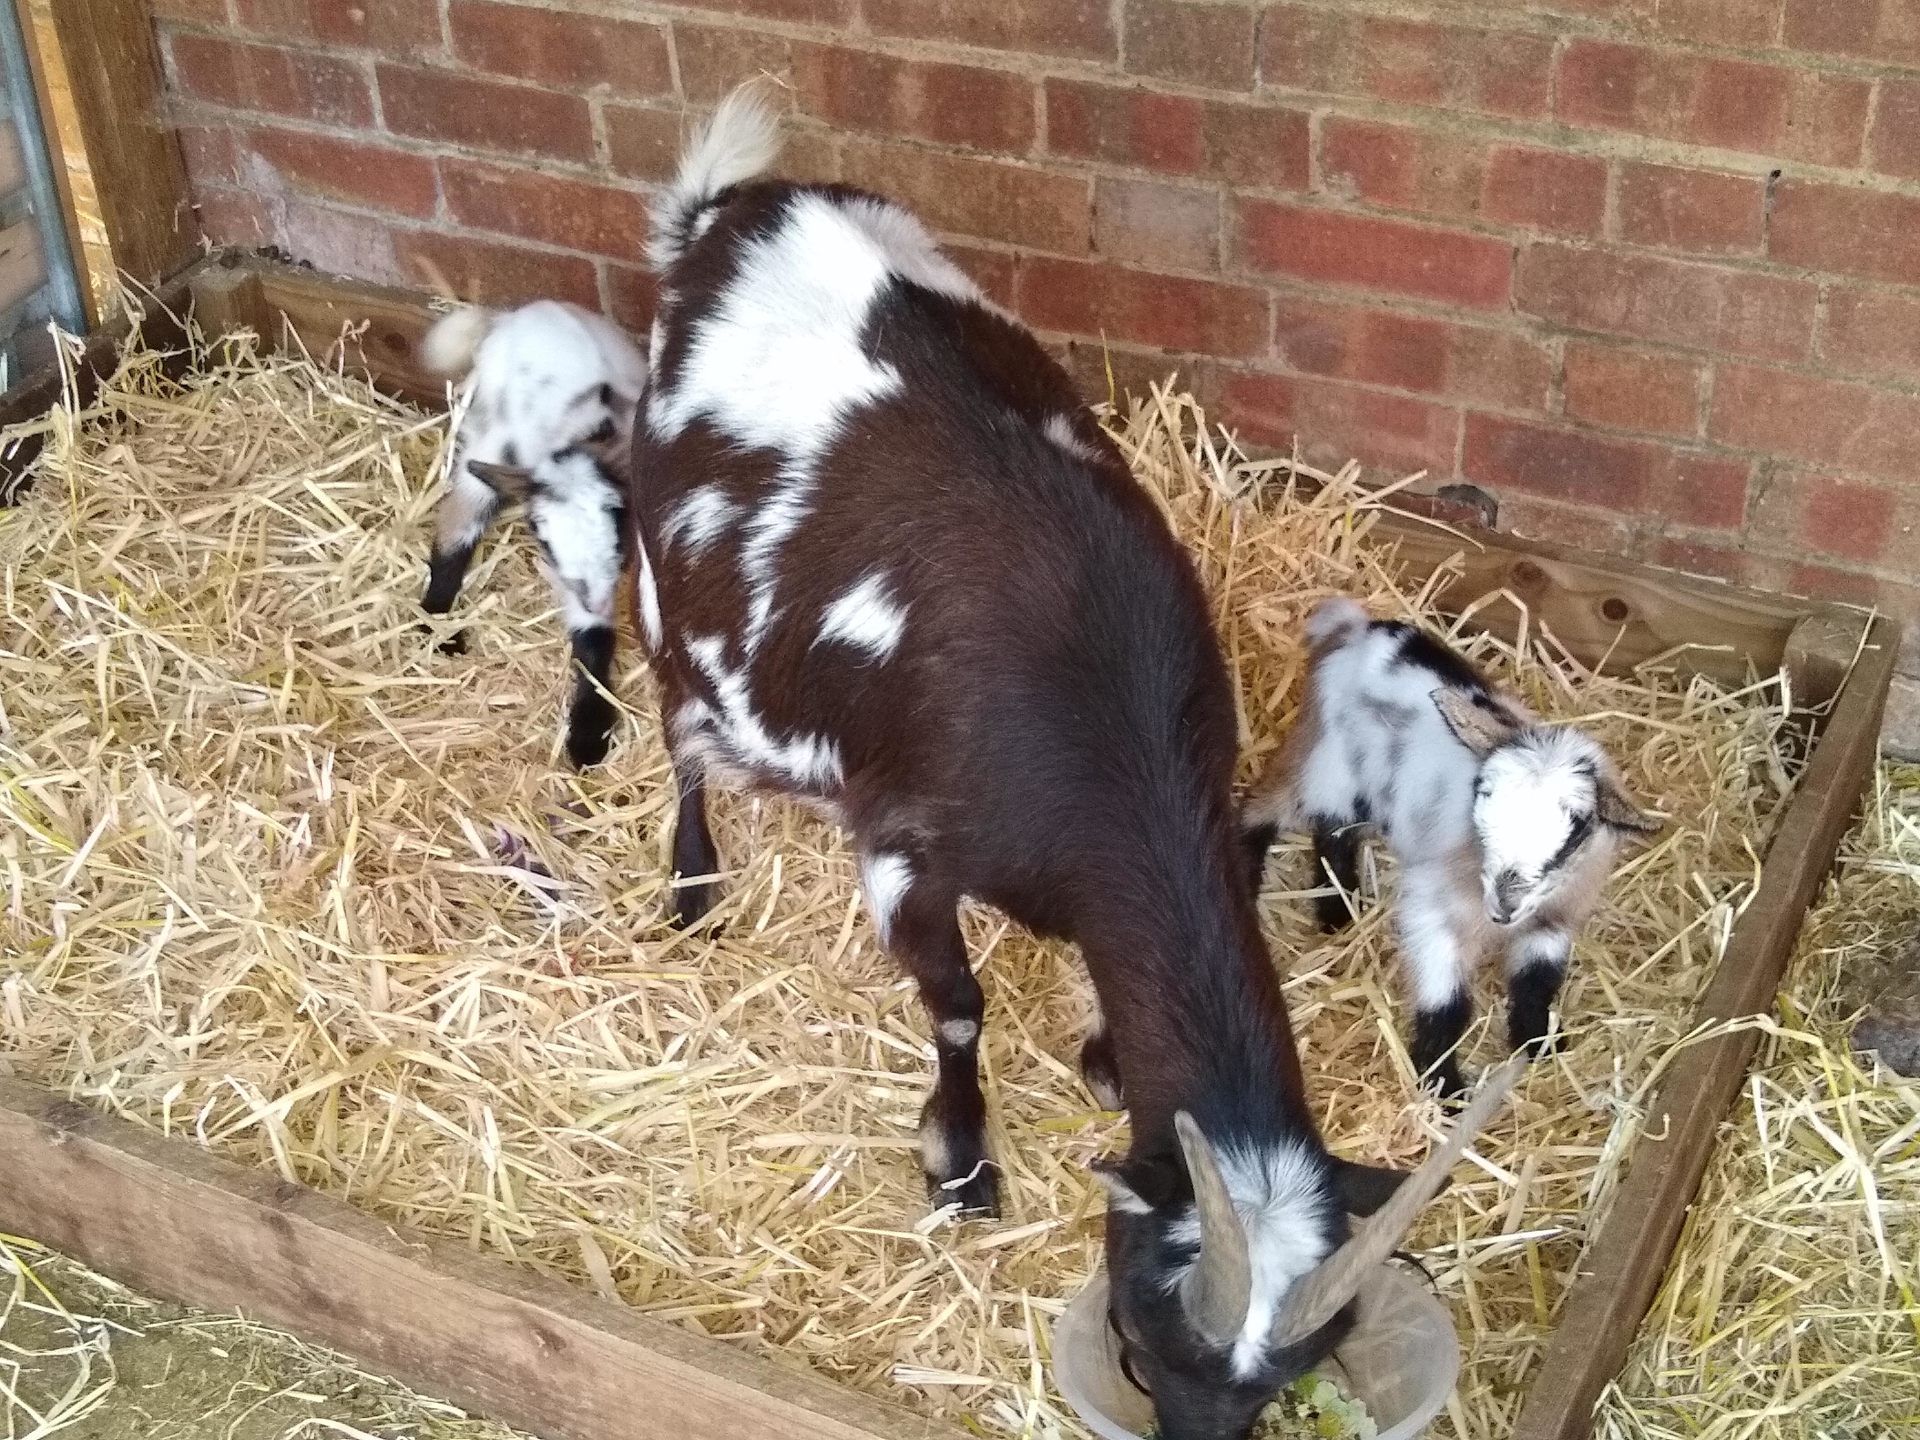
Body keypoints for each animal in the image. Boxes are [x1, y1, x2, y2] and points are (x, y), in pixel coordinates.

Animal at [419, 299, 647, 768]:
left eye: (617, 515)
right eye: (542, 536)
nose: (595, 596)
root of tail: (510, 317)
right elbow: (592, 642)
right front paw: (588, 739)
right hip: (490, 438)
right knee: (459, 520)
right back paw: (439, 623)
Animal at [631, 83, 1481, 1440]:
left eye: (1291, 1373)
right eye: (1143, 1325)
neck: (1100, 738)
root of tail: (733, 208)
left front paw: (1100, 1057)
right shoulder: (903, 847)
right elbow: (959, 1008)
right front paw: (961, 1166)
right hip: (671, 582)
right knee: (679, 724)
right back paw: (694, 884)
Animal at [1242, 598, 1659, 1096]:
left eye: (1575, 832)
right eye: (1482, 796)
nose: (1502, 907)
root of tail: (1354, 628)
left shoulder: (1555, 921)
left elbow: (1537, 983)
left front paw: (1538, 1042)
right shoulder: (1435, 913)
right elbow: (1447, 1000)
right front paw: (1446, 1086)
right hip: (1330, 764)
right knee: (1297, 817)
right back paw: (1322, 905)